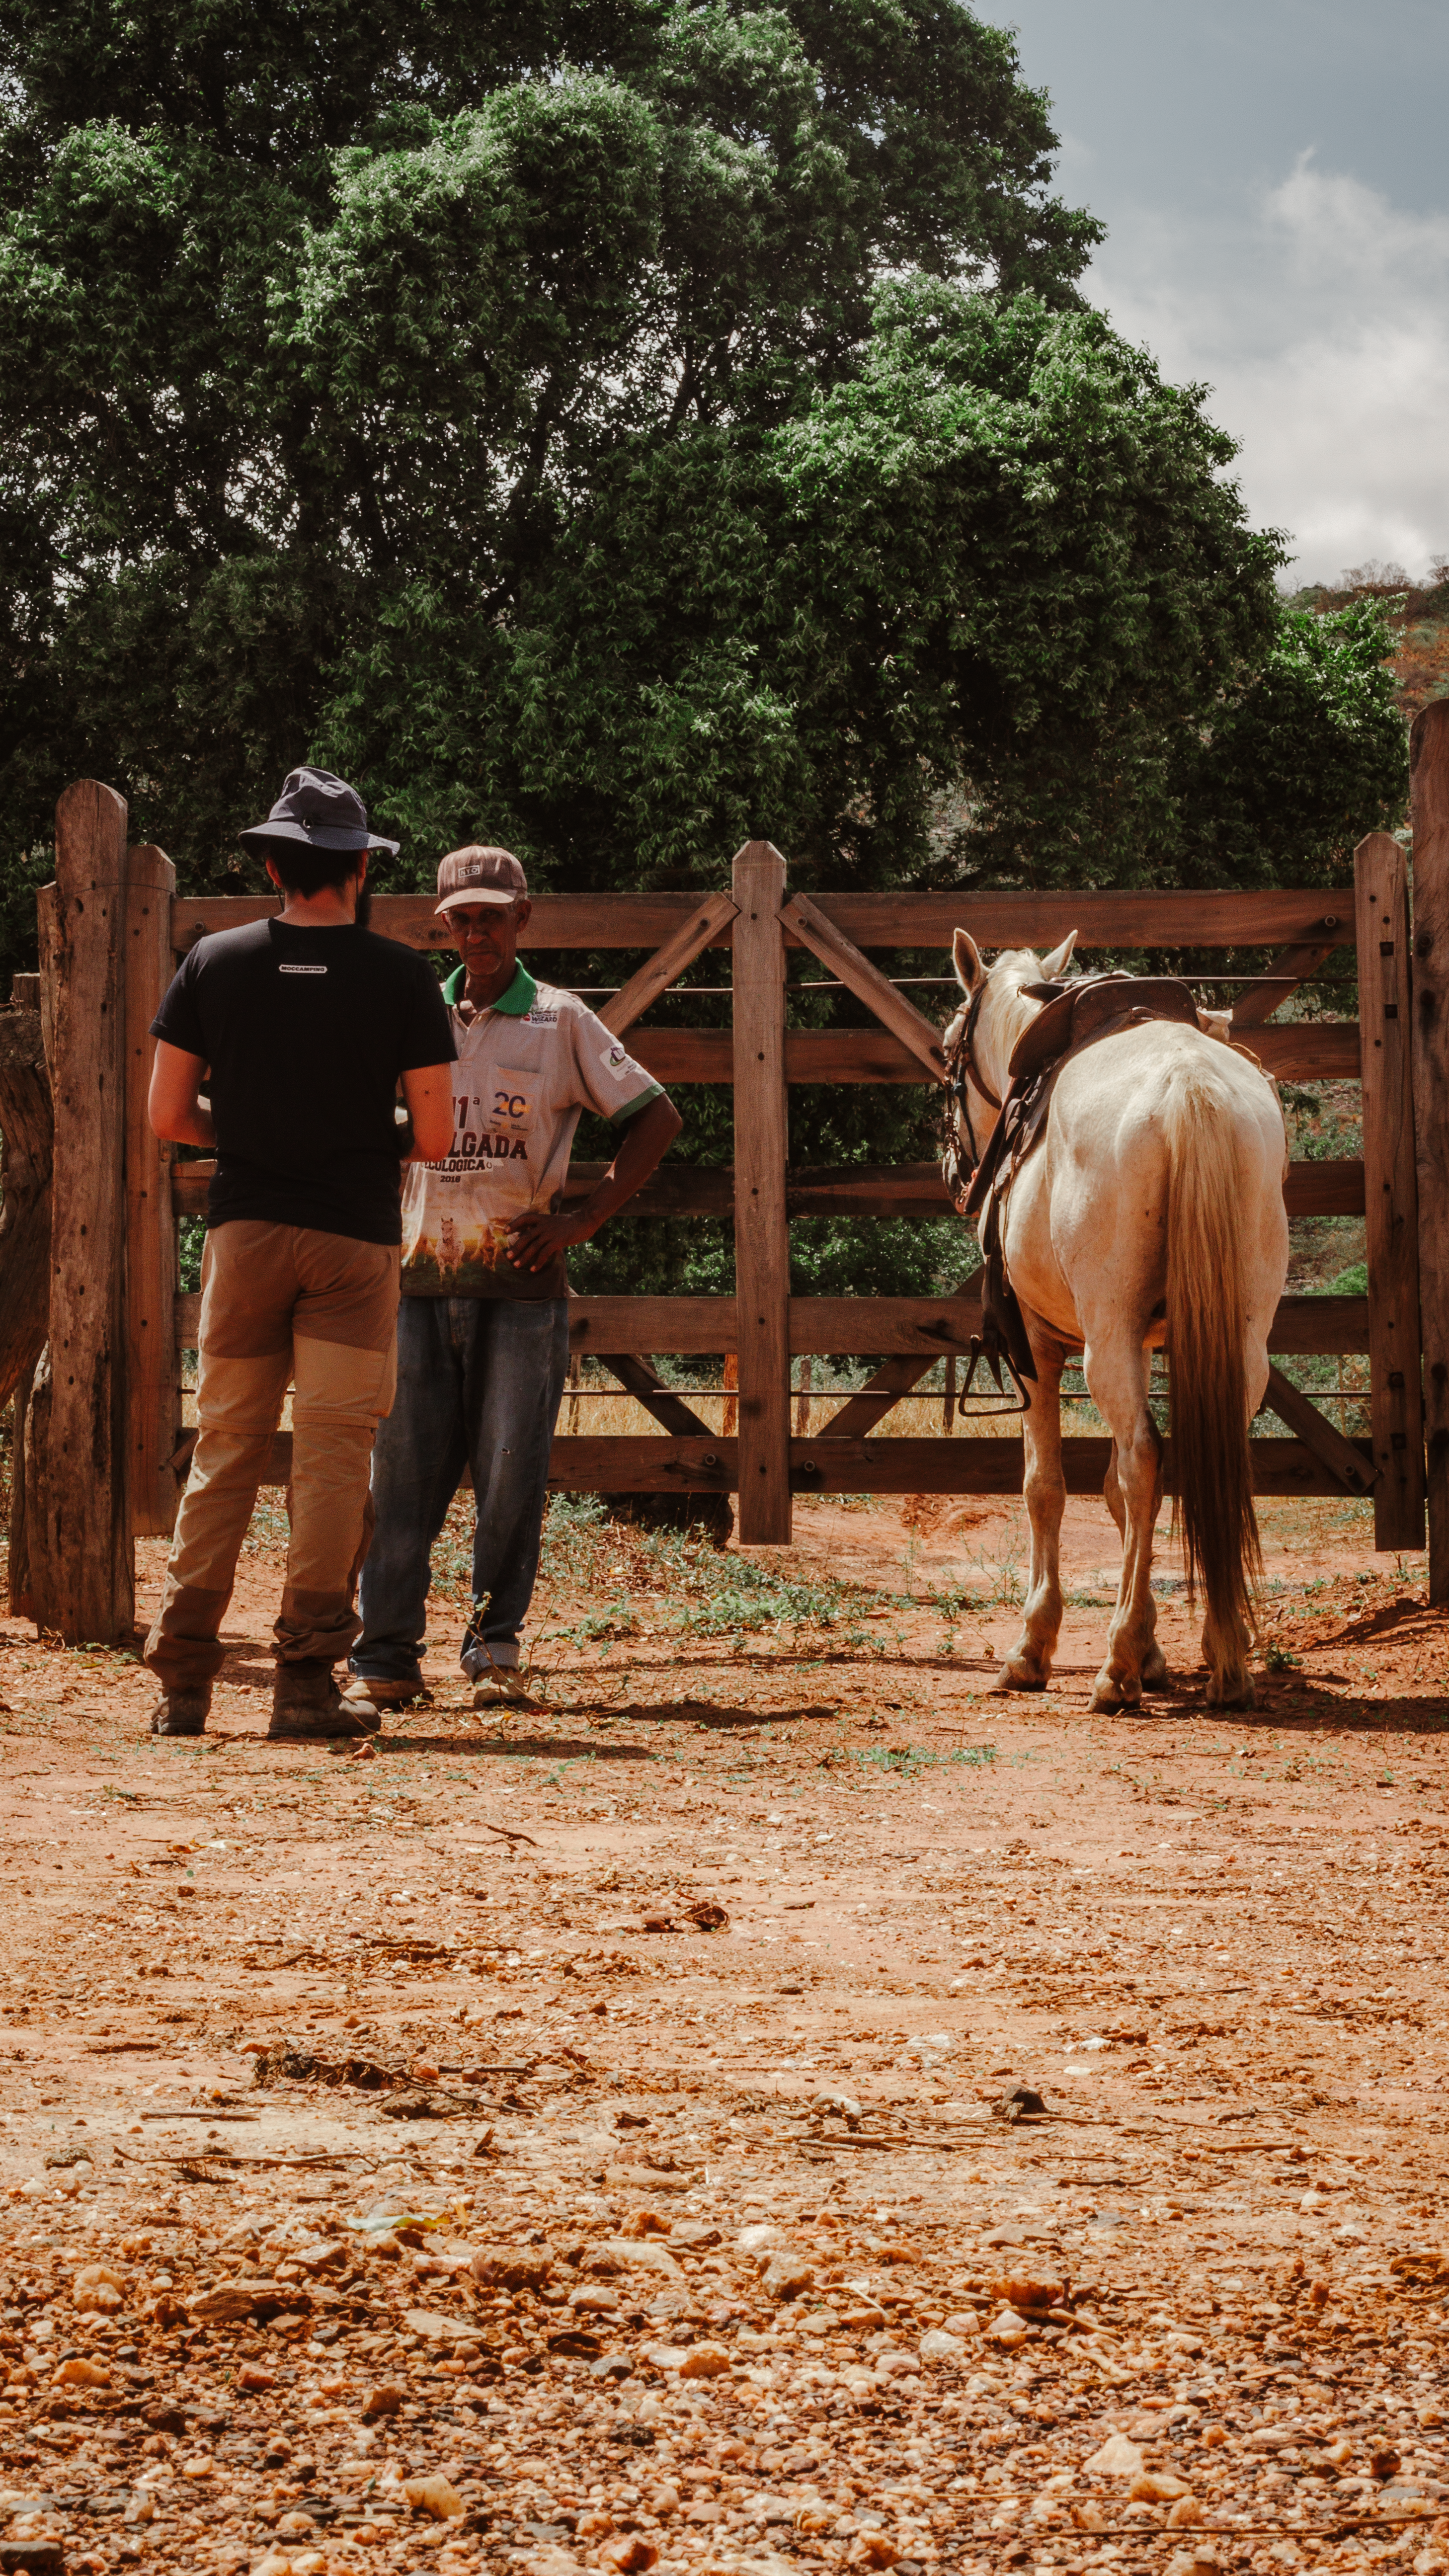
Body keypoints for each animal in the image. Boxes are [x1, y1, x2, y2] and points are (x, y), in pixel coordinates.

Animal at [943, 931, 1290, 1712]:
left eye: (948, 1050)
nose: (952, 1167)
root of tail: (1191, 1086)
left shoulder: (1039, 1347)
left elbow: (1048, 1486)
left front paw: (1034, 1648)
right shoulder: (1161, 1344)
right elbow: (1116, 1493)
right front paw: (1159, 1652)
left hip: (1104, 1339)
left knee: (1143, 1461)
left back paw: (1118, 1663)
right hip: (1239, 1342)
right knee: (1199, 1463)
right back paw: (1225, 1655)